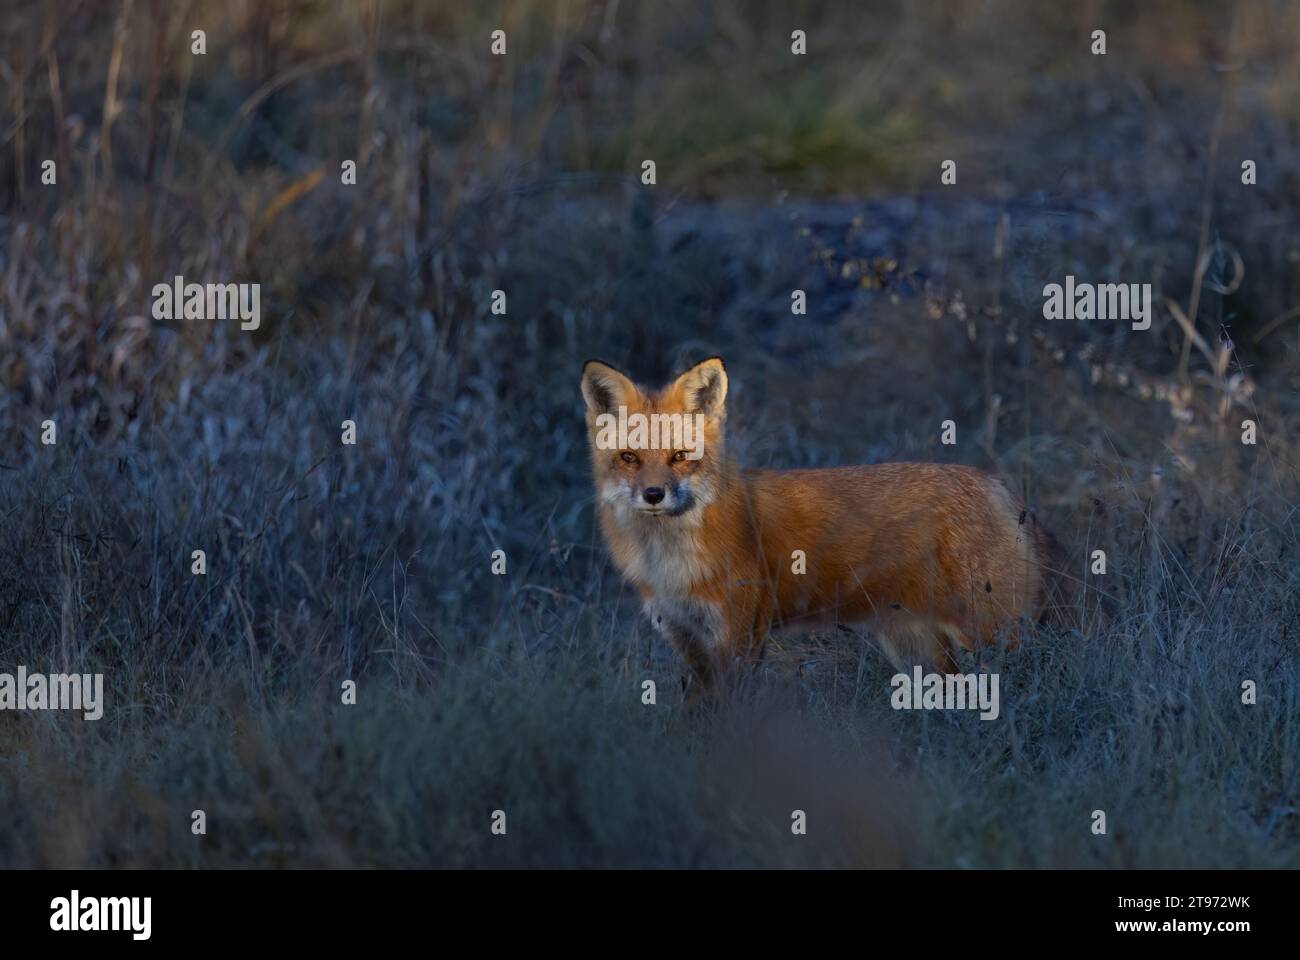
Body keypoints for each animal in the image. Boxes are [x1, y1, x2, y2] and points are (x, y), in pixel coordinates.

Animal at [581, 356, 1071, 695]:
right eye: (629, 458)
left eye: (681, 457)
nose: (653, 495)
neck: (667, 560)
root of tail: (999, 485)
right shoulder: (687, 641)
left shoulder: (739, 637)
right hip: (919, 652)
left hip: (994, 636)